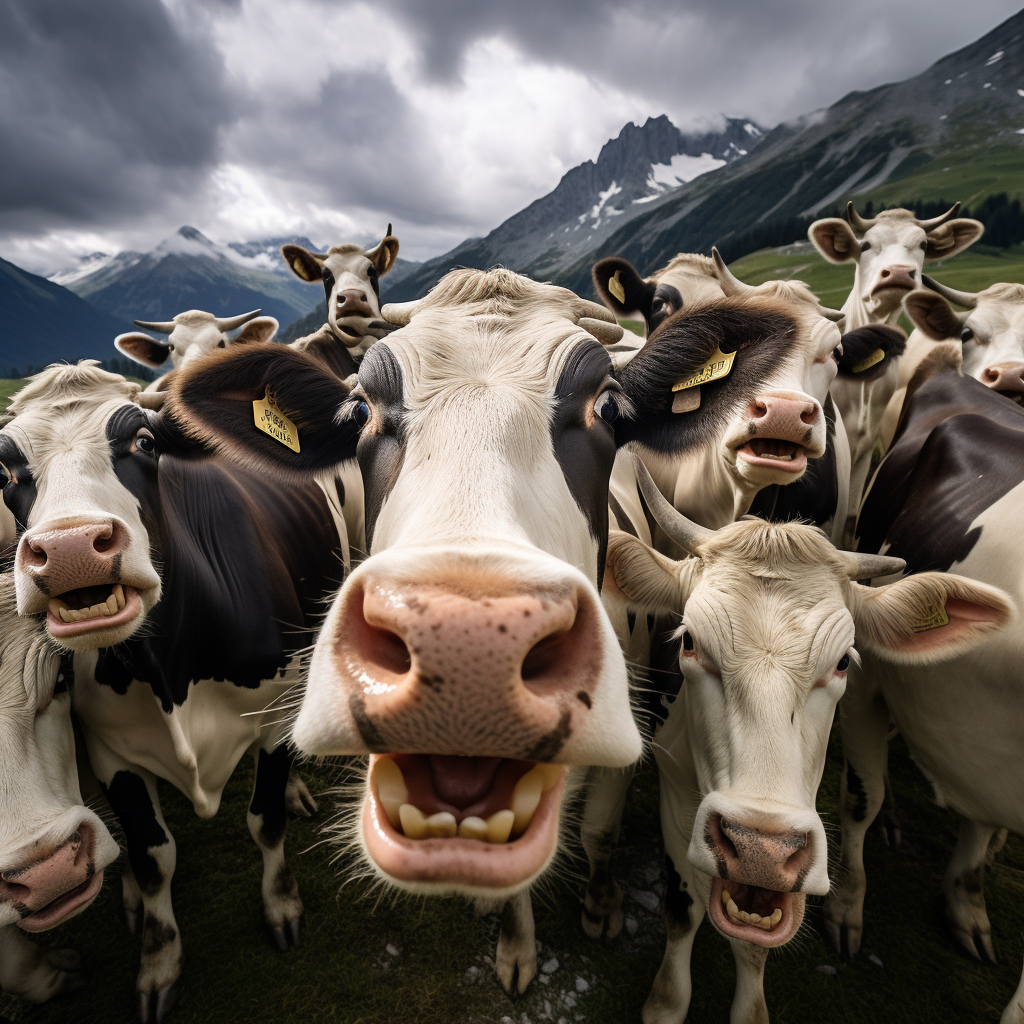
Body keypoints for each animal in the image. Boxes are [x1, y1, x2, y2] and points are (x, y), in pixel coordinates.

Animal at [604, 455, 1012, 1024]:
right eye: (689, 642)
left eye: (842, 661)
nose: (761, 848)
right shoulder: (675, 787)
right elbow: (682, 908)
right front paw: (665, 1003)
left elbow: (754, 943)